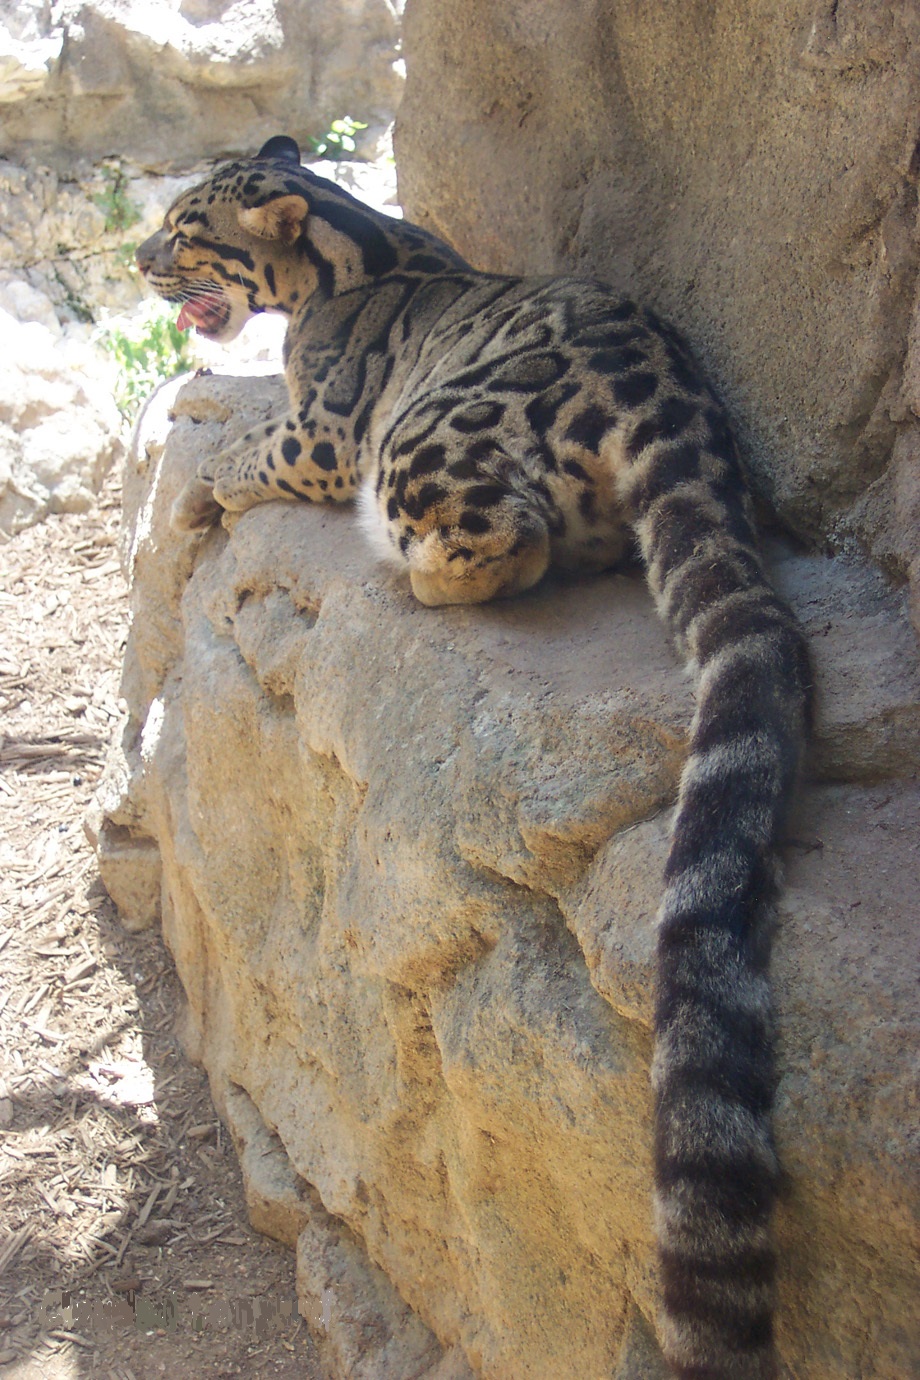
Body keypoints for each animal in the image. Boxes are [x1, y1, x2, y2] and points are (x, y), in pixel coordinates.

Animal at [136, 134, 811, 1380]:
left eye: (187, 228)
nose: (139, 257)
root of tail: (674, 401)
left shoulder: (319, 427)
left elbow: (250, 445)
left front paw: (207, 473)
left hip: (426, 441)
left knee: (508, 536)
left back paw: (406, 563)